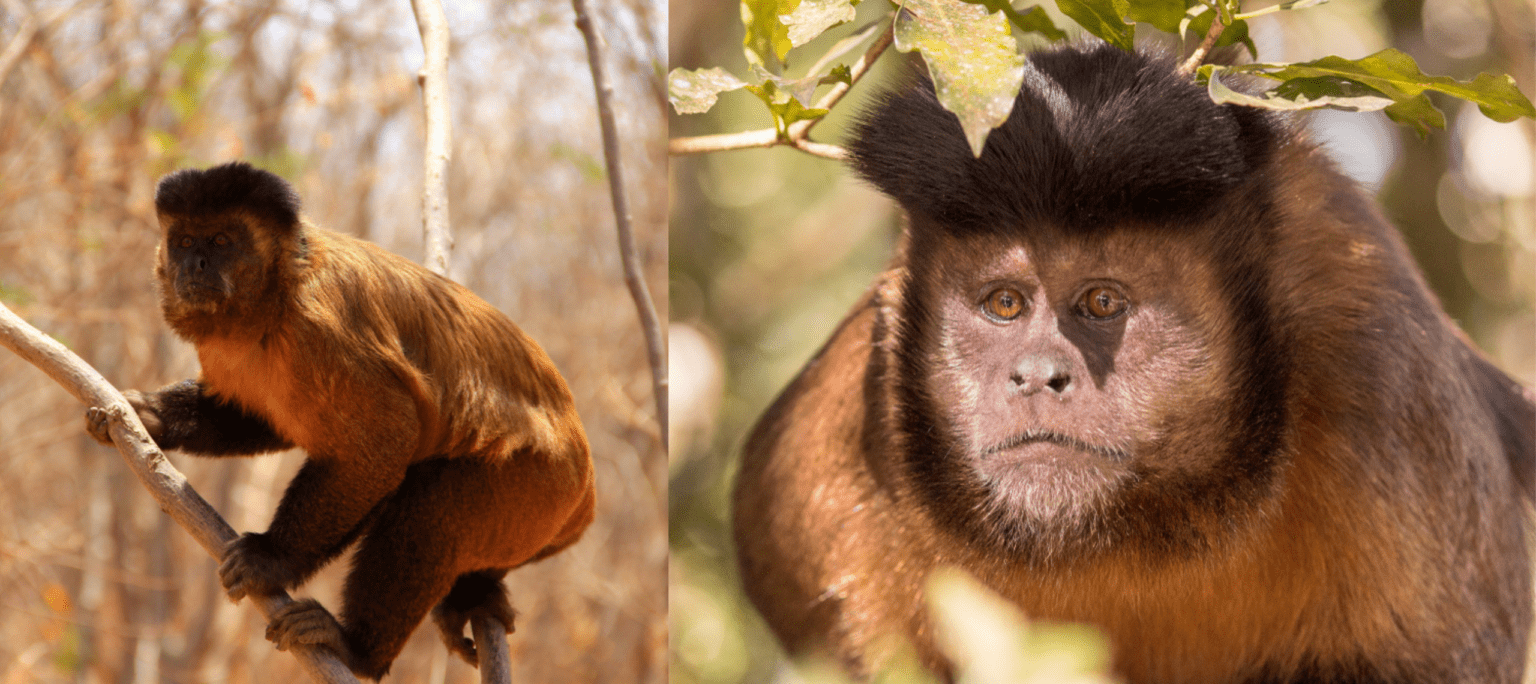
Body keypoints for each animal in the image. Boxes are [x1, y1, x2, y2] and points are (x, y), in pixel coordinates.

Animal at [85, 161, 596, 680]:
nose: (196, 265)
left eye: (223, 241)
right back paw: (474, 596)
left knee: (430, 501)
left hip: (540, 490)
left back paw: (357, 649)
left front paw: (273, 560)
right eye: (186, 241)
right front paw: (149, 416)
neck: (281, 292)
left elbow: (386, 438)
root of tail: (585, 491)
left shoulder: (321, 327)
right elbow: (261, 419)